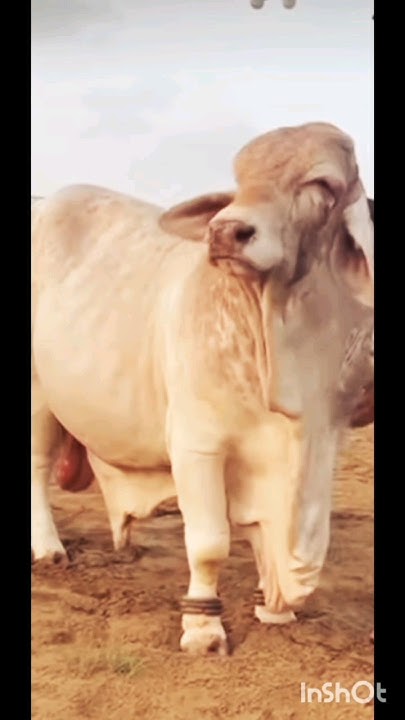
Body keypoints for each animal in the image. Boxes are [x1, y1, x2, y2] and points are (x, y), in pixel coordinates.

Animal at [32, 122, 374, 655]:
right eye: (240, 179)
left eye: (322, 183)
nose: (225, 231)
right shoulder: (198, 445)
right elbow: (210, 542)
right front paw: (203, 629)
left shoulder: (315, 443)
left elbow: (262, 535)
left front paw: (275, 608)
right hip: (39, 397)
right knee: (37, 467)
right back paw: (48, 549)